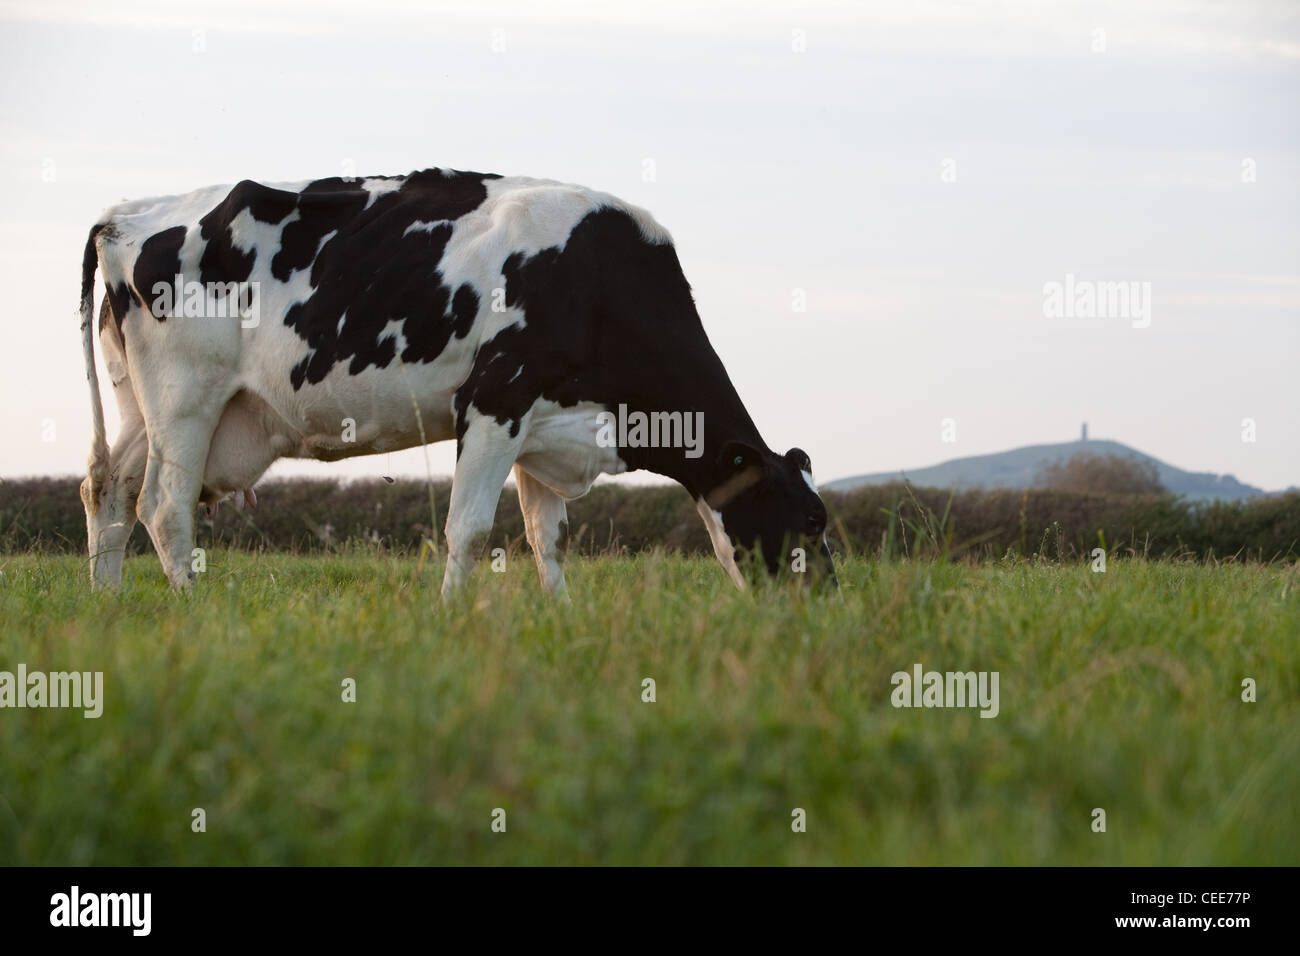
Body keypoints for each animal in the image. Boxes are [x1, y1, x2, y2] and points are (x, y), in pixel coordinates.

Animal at [78, 168, 836, 597]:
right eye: (808, 519)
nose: (824, 604)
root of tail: (127, 214)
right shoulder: (494, 404)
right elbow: (468, 530)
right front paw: (449, 613)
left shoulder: (547, 428)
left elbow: (546, 537)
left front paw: (561, 616)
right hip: (185, 399)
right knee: (163, 506)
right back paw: (190, 605)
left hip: (138, 404)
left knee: (106, 488)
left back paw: (106, 603)